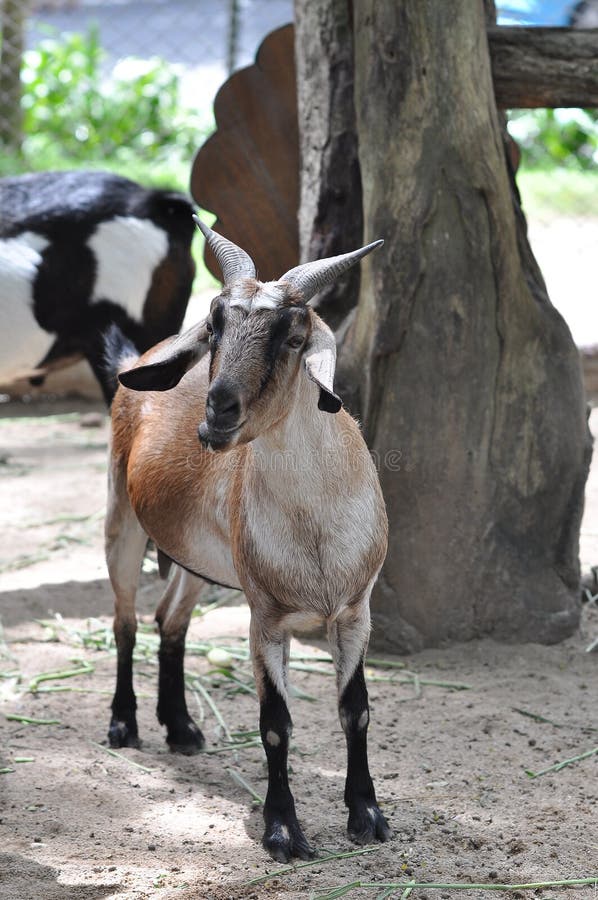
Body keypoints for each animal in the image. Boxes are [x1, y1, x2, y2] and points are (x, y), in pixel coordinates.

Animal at [105, 220, 390, 861]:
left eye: (293, 336)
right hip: (121, 519)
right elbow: (276, 724)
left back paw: (182, 729)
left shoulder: (355, 612)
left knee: (169, 619)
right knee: (126, 620)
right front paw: (282, 831)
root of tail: (145, 356)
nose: (217, 413)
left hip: (196, 558)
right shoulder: (266, 617)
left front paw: (367, 816)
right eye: (214, 325)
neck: (314, 529)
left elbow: (356, 711)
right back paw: (123, 725)